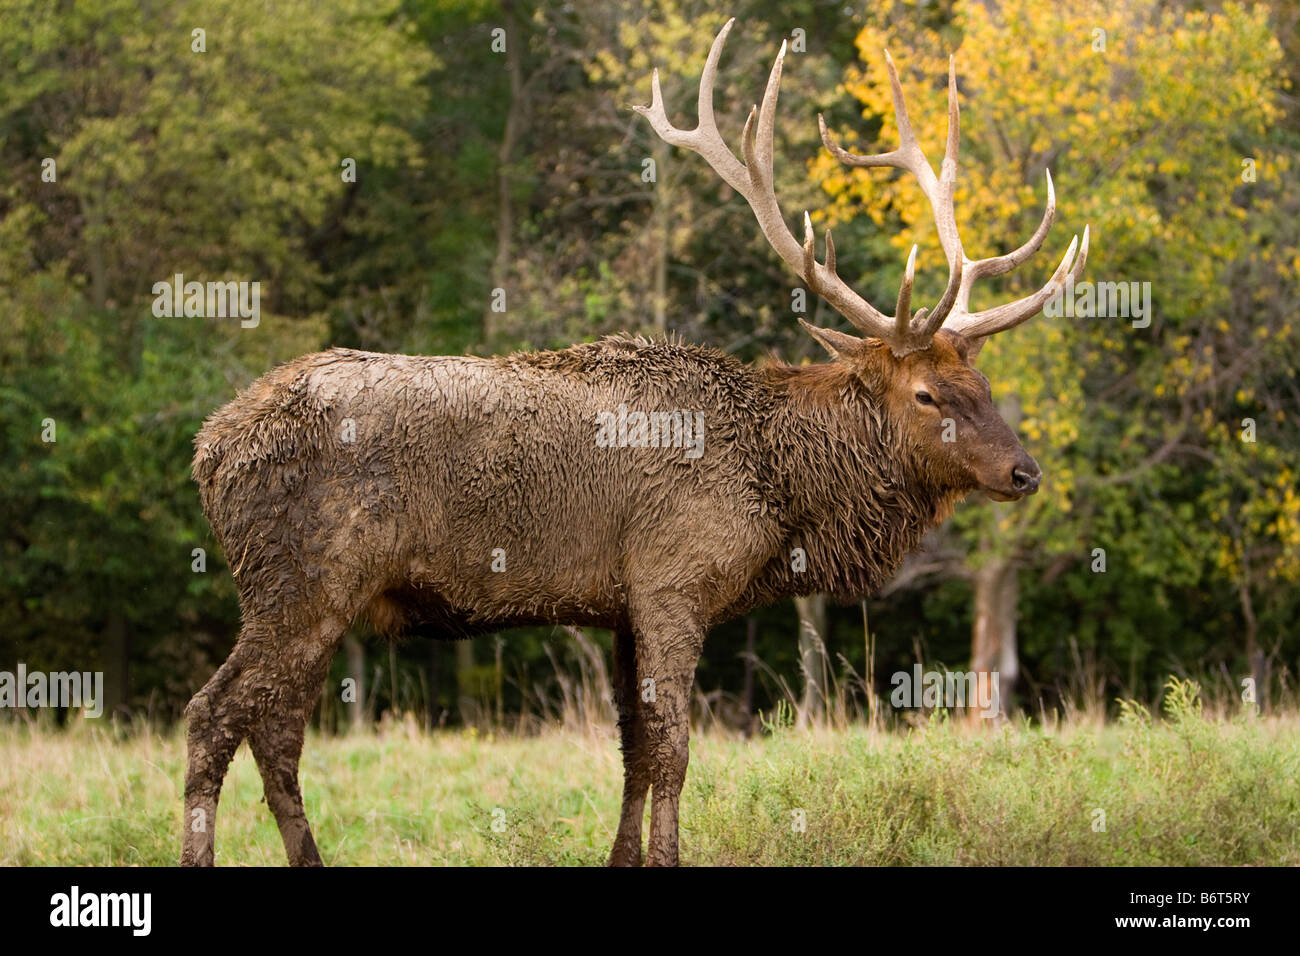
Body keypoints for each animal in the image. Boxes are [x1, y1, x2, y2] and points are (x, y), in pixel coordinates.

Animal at [182, 18, 1087, 867]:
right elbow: (674, 751)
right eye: (928, 393)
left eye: (985, 385)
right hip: (303, 577)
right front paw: (667, 855)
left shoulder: (620, 604)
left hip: (302, 592)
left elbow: (634, 754)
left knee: (275, 731)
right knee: (213, 715)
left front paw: (621, 857)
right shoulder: (674, 577)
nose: (1024, 471)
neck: (779, 496)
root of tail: (210, 449)